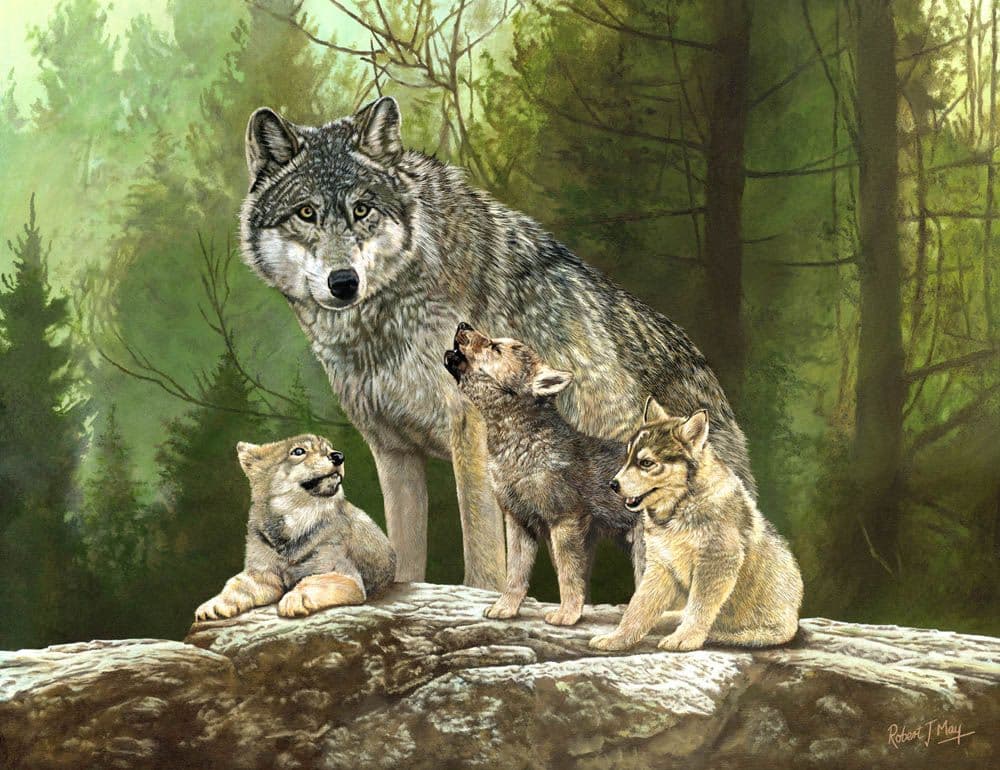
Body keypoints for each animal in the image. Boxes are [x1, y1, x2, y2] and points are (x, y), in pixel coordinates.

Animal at [194, 435, 395, 620]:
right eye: (299, 451)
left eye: (330, 448)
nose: (338, 456)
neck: (295, 524)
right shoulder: (263, 574)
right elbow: (236, 585)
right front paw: (214, 604)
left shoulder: (344, 573)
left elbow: (316, 580)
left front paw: (296, 598)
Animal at [239, 95, 754, 590]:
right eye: (307, 213)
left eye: (362, 209)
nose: (343, 282)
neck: (383, 323)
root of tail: (711, 384)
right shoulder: (392, 449)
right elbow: (404, 556)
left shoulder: (470, 436)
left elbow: (483, 556)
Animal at [444, 323, 642, 625]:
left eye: (494, 347)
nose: (462, 325)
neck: (521, 445)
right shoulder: (518, 522)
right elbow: (516, 574)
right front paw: (506, 608)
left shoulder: (565, 523)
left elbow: (569, 576)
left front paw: (567, 615)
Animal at [590, 400, 802, 651]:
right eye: (627, 459)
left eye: (646, 463)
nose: (612, 485)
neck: (680, 508)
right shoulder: (660, 565)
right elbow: (638, 608)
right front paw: (618, 638)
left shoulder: (716, 562)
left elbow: (699, 607)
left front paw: (685, 637)